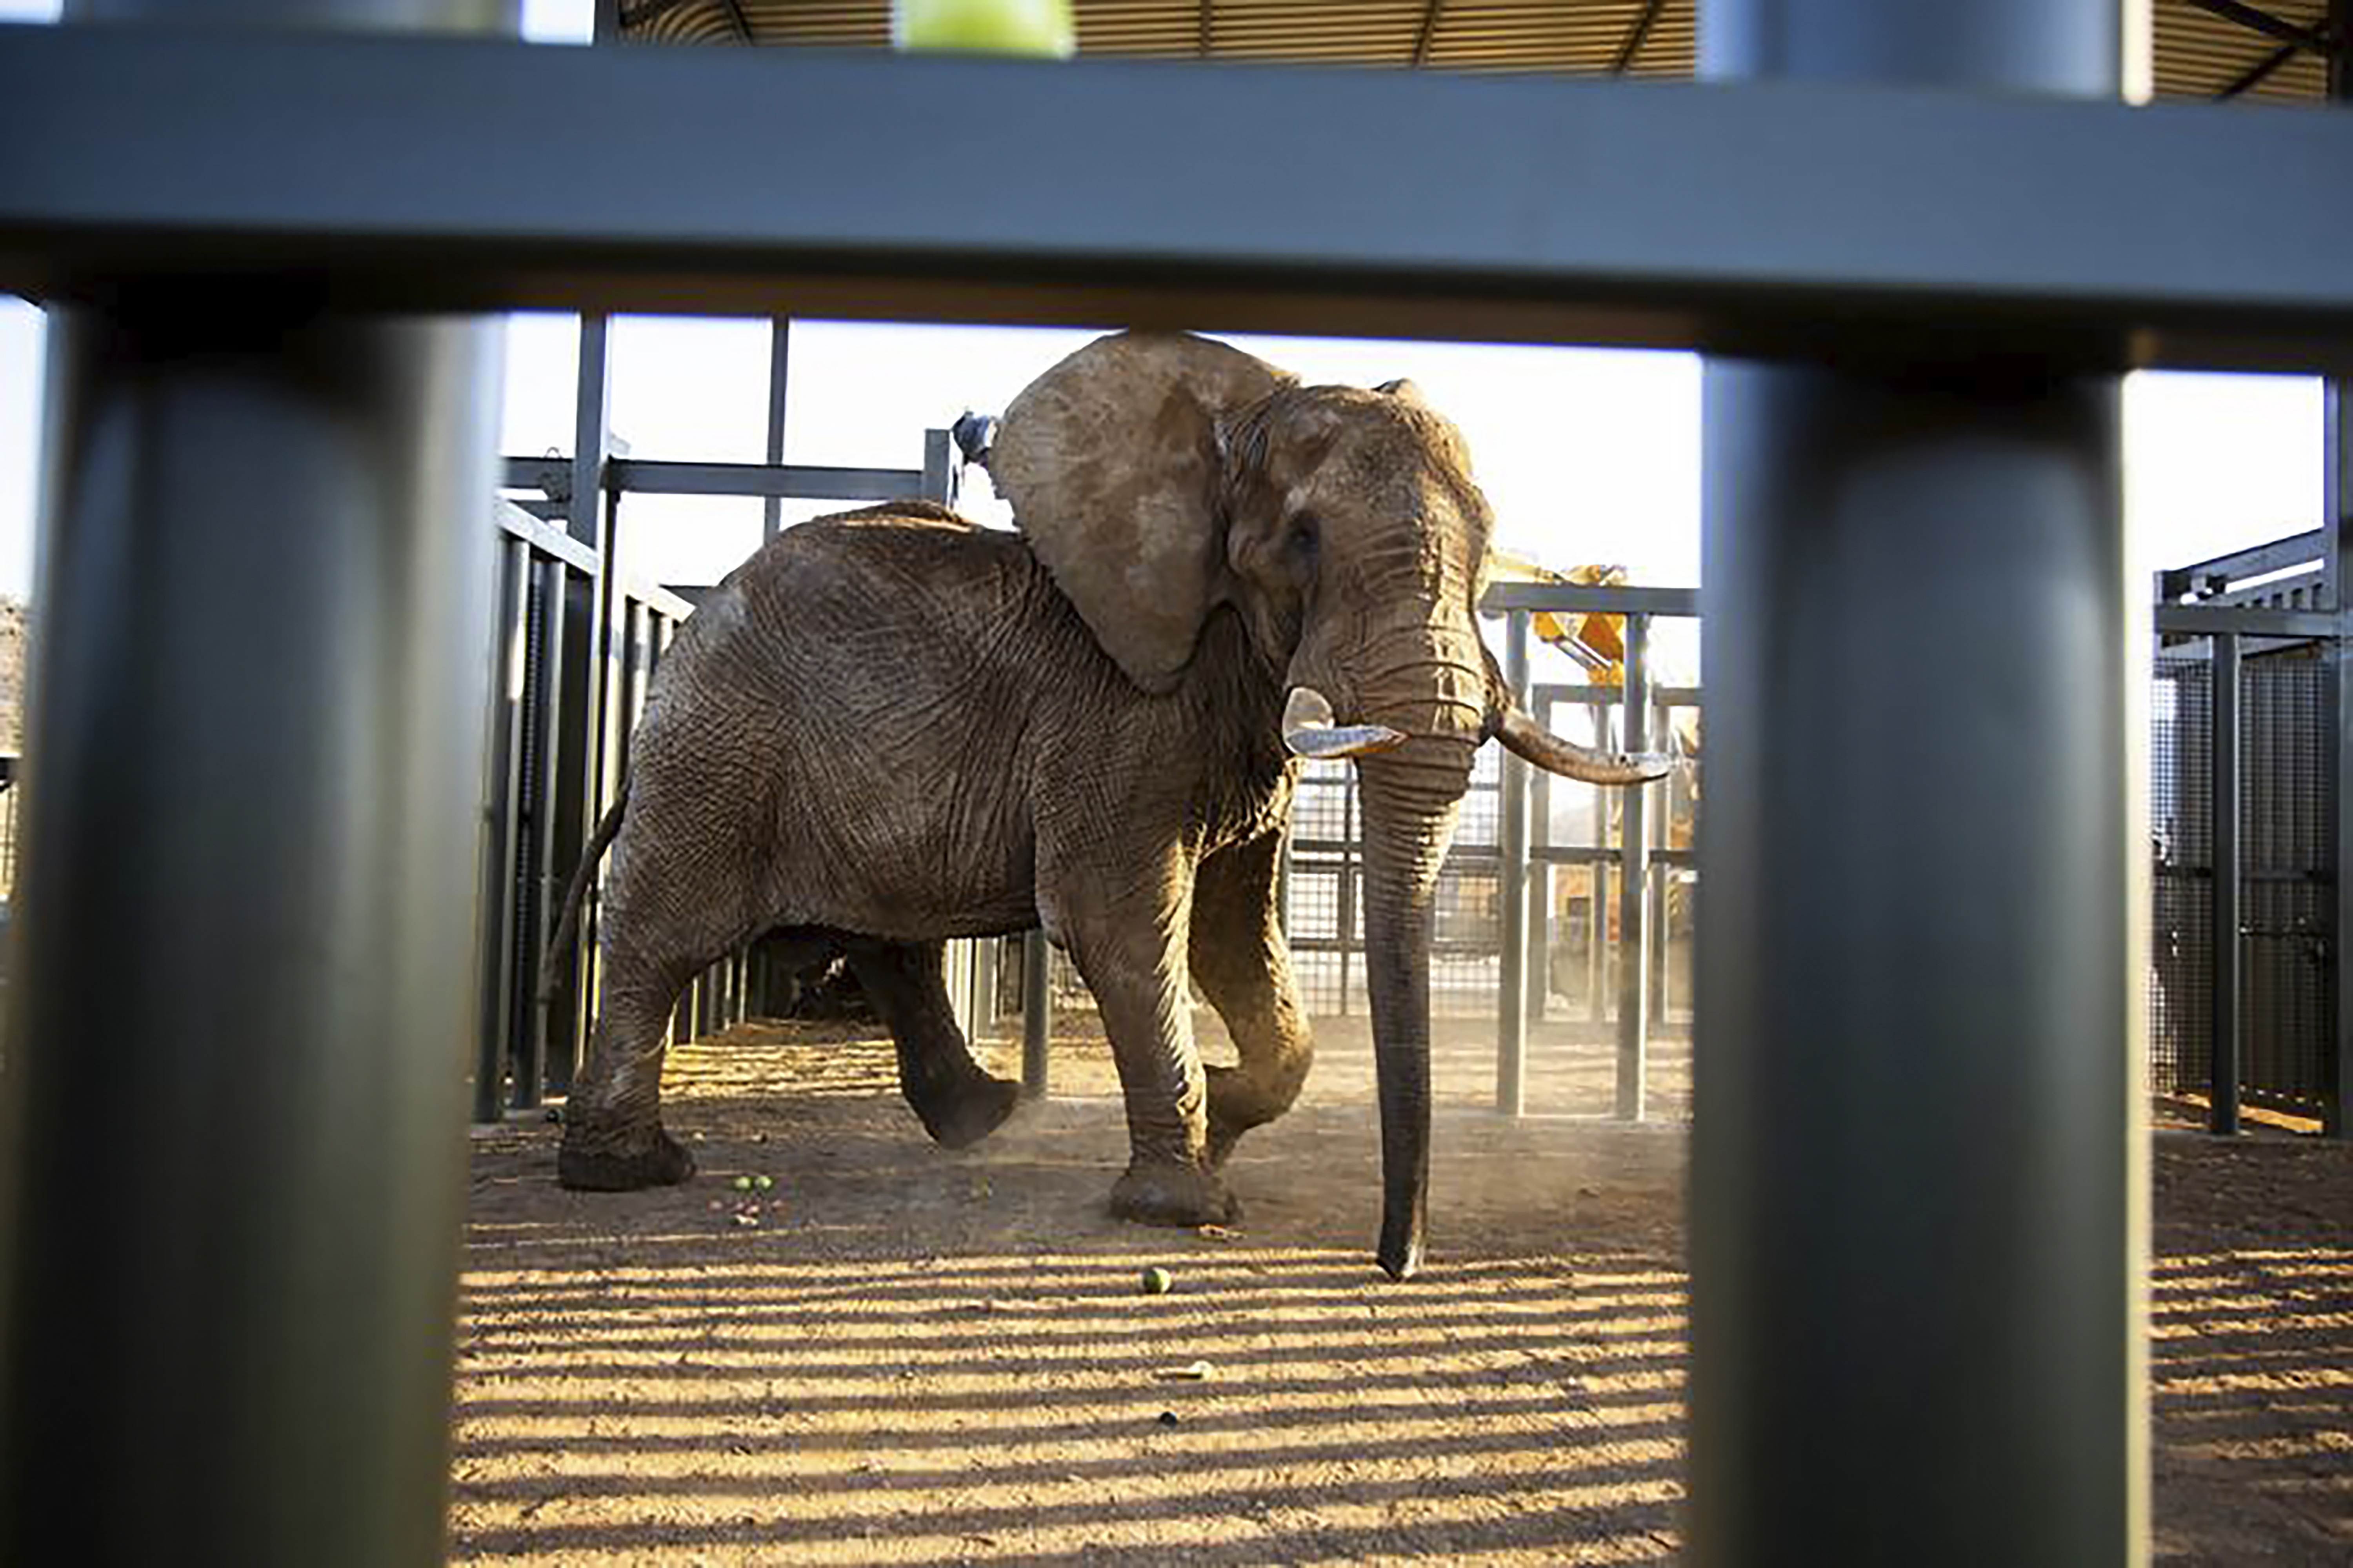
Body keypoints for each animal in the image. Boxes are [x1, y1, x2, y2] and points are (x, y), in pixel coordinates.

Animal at [549, 330, 1670, 1278]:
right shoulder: (1118, 711)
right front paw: (1187, 1205)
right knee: (665, 937)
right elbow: (1121, 924)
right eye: (1304, 540)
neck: (1235, 421)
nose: (1397, 1262)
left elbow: (1232, 928)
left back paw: (985, 1116)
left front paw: (1225, 1110)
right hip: (720, 750)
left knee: (889, 941)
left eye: (1488, 547)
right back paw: (629, 1172)